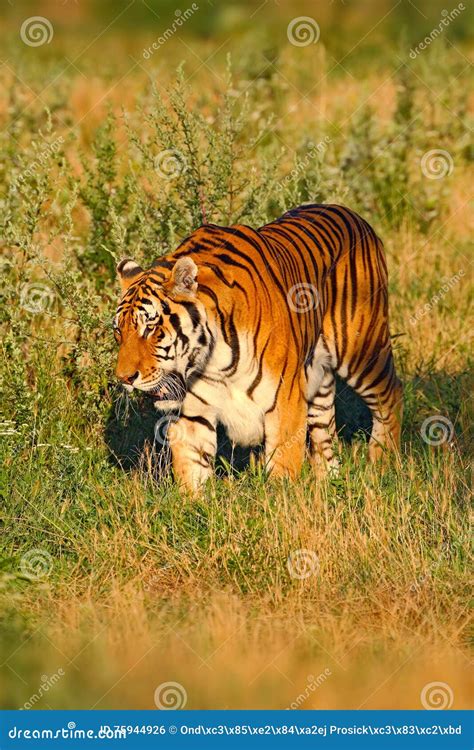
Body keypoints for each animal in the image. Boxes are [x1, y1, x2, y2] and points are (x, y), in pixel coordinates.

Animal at [114, 204, 403, 490]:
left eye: (150, 328)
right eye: (118, 331)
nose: (124, 378)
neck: (214, 361)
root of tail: (354, 215)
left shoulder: (285, 403)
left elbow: (283, 469)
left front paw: (280, 500)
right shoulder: (193, 415)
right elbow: (192, 473)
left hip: (361, 351)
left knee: (391, 393)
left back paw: (382, 464)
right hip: (320, 380)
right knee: (325, 431)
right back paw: (329, 483)